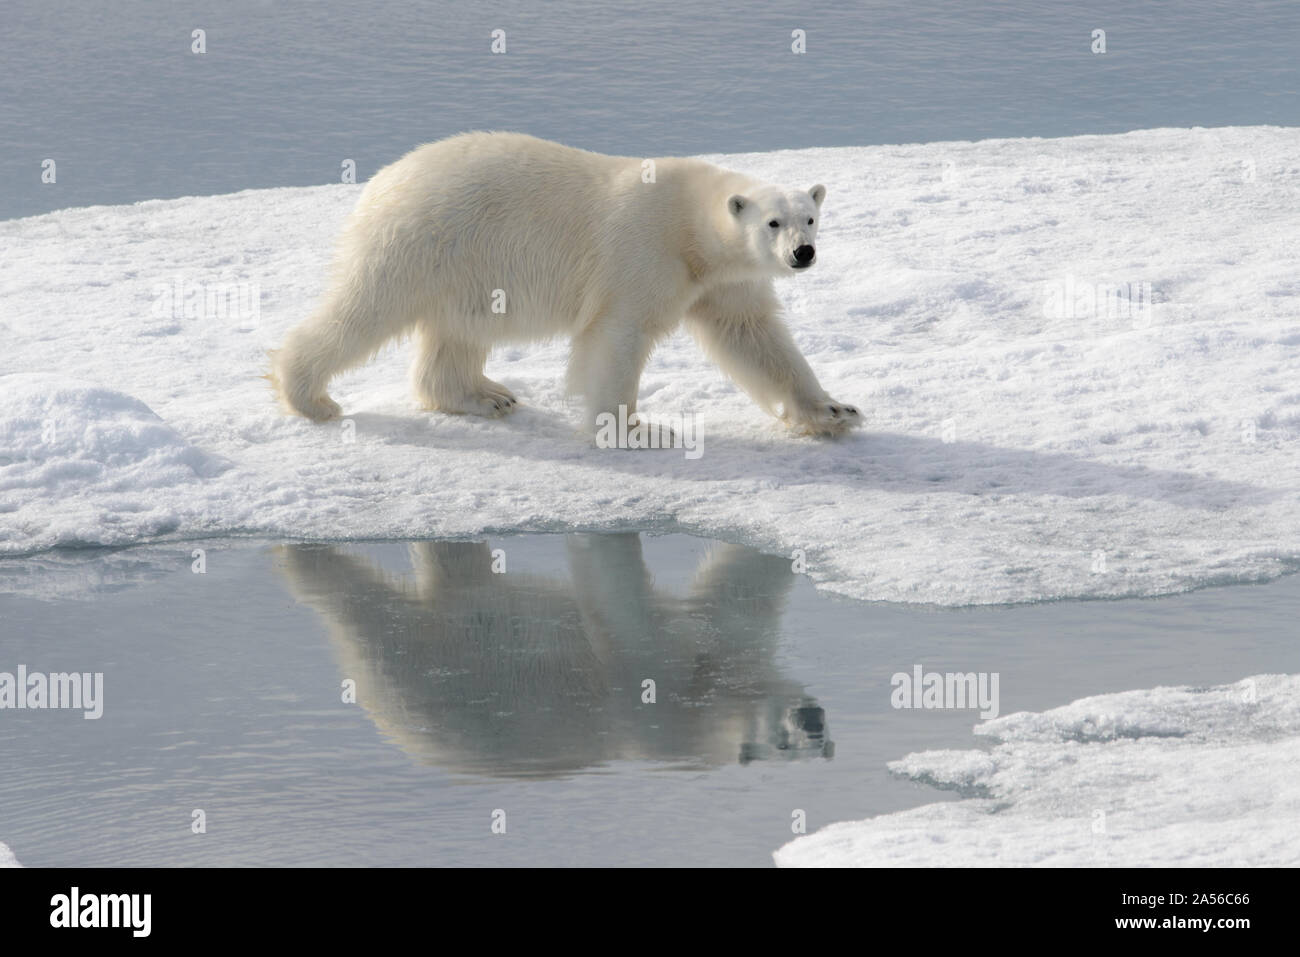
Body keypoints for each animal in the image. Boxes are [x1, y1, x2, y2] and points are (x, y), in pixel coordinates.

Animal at [270, 132, 860, 437]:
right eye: (773, 223)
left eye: (809, 217)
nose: (803, 254)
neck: (690, 227)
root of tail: (383, 179)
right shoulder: (642, 255)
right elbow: (618, 336)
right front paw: (634, 430)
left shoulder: (721, 279)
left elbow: (754, 336)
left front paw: (835, 412)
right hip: (423, 241)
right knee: (364, 311)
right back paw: (311, 398)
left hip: (465, 268)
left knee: (455, 333)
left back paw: (486, 396)